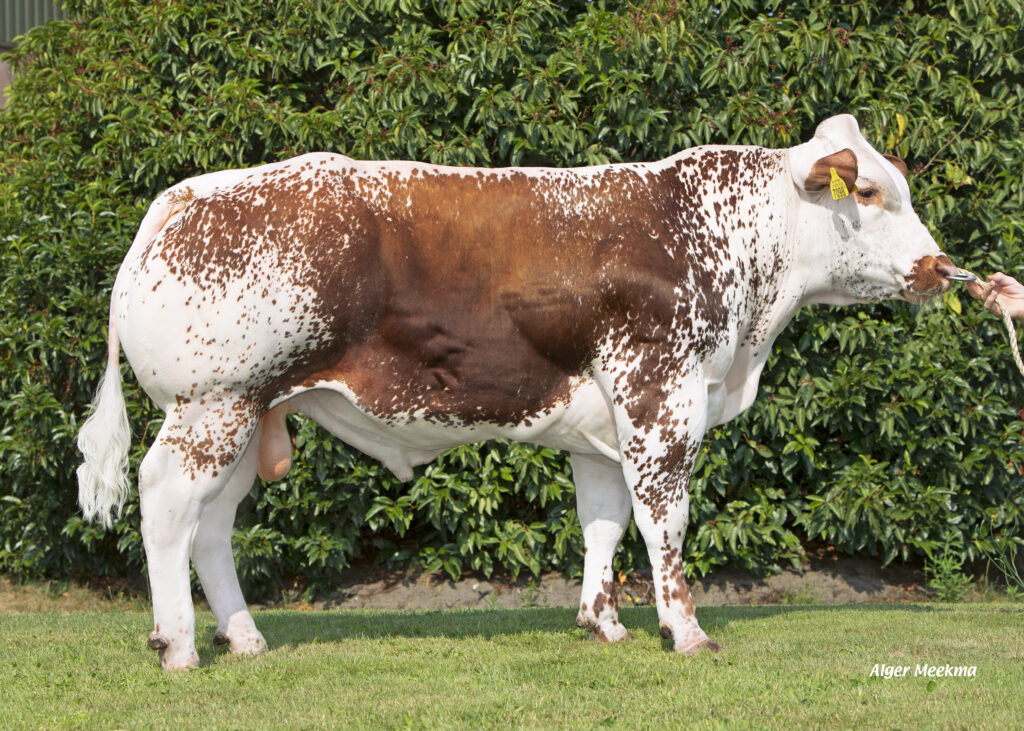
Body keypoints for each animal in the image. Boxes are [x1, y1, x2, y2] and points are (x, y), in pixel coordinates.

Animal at [77, 114, 959, 669]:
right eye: (870, 194)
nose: (940, 267)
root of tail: (185, 194)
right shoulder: (660, 399)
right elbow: (664, 522)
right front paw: (685, 629)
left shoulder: (602, 425)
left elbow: (603, 521)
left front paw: (603, 622)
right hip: (213, 402)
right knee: (166, 503)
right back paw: (178, 644)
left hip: (249, 411)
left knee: (214, 525)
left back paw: (245, 637)